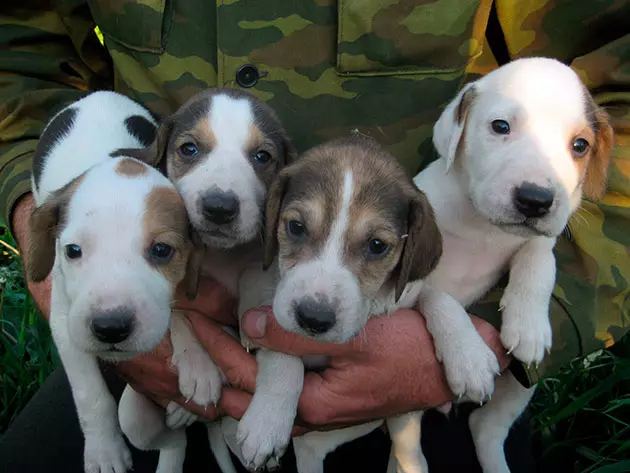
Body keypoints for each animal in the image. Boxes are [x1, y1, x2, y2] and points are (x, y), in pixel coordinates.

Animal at [27, 91, 195, 472]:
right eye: (72, 251)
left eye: (162, 250)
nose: (111, 327)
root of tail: (98, 95)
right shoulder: (65, 320)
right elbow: (91, 395)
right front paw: (104, 451)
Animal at [228, 135, 444, 470]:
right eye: (296, 227)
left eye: (377, 245)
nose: (313, 319)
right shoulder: (259, 292)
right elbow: (282, 351)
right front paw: (266, 424)